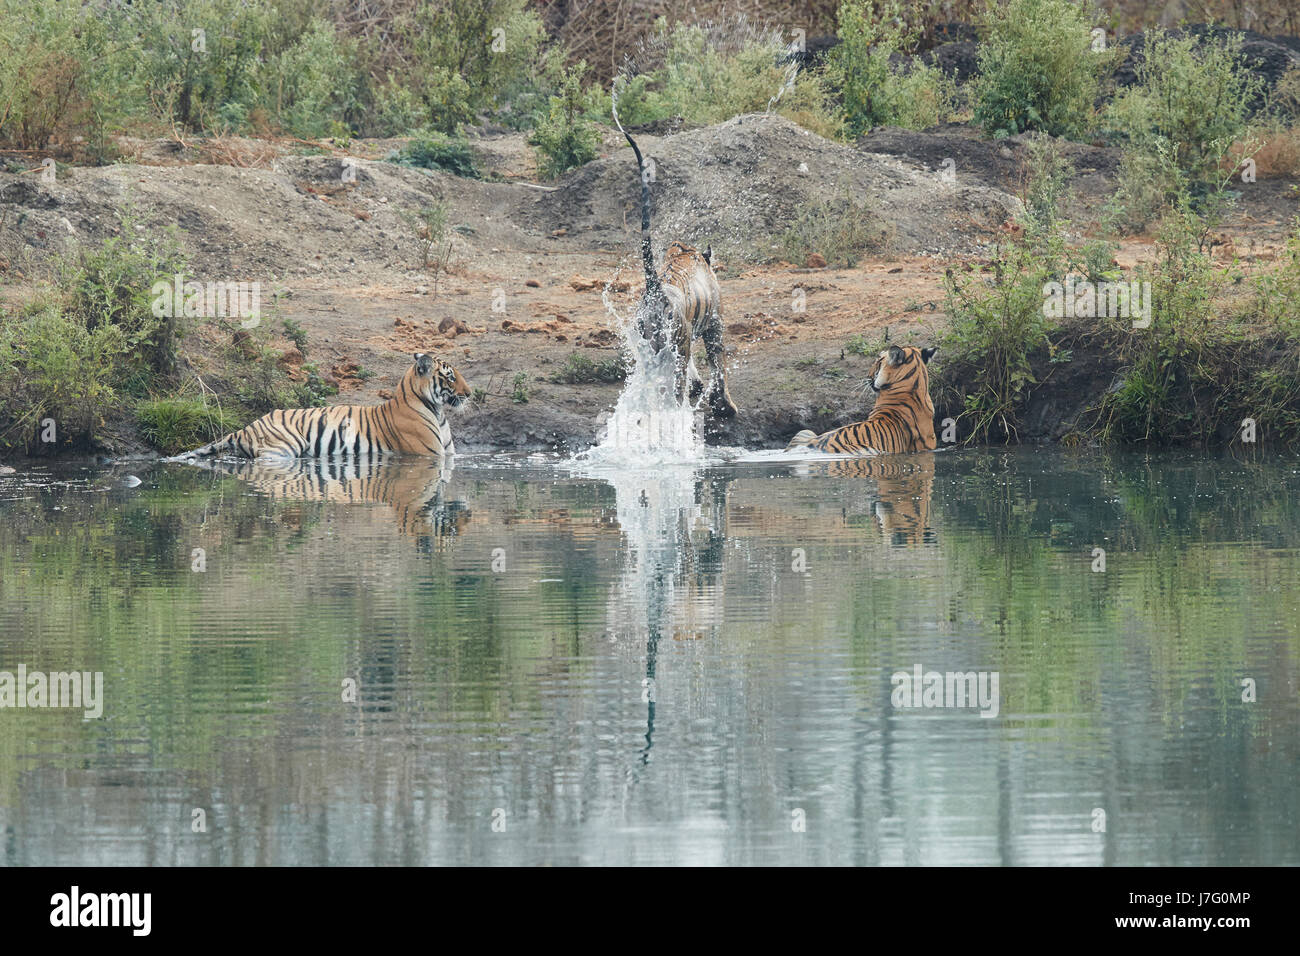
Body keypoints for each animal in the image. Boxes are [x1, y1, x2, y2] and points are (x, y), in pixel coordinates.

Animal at [172, 352, 470, 460]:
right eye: (450, 376)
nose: (469, 393)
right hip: (283, 447)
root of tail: (245, 428)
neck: (437, 412)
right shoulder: (430, 455)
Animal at [612, 103, 737, 419]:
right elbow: (719, 365)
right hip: (675, 347)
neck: (684, 251)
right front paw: (725, 406)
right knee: (675, 392)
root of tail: (655, 291)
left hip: (647, 350)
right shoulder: (716, 324)